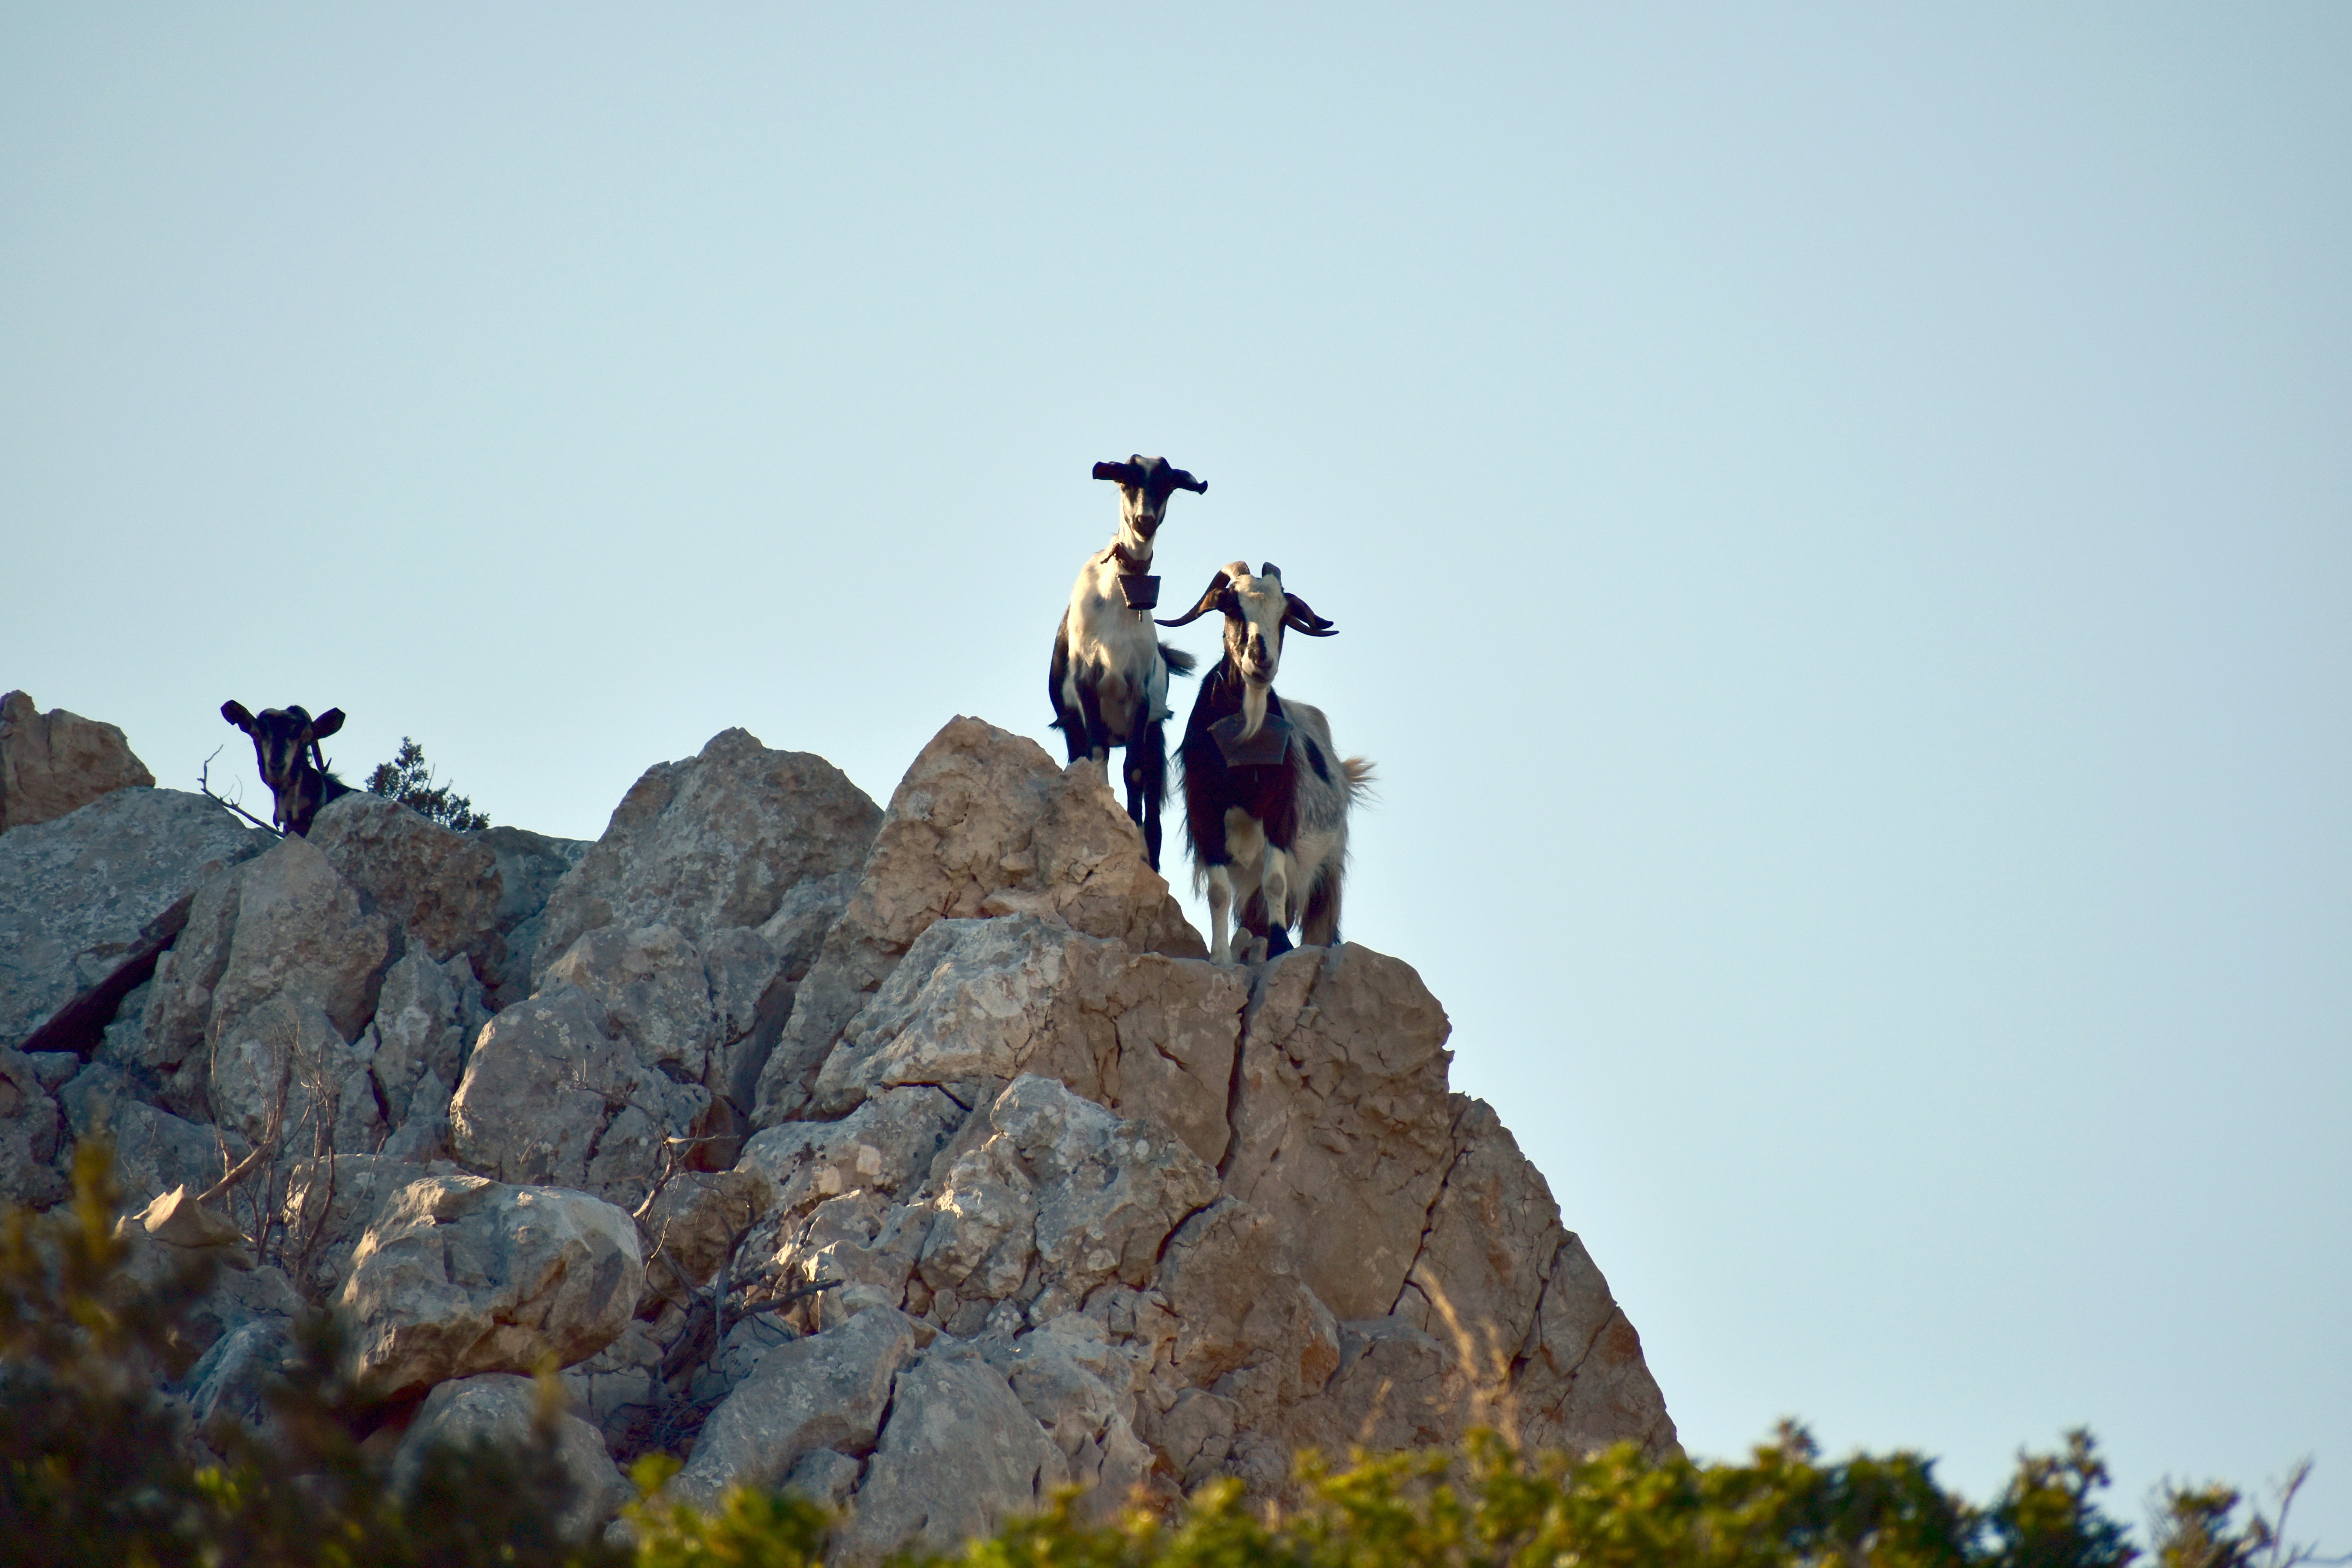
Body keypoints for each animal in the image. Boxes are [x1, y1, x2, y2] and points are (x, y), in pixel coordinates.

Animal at [1047, 455, 1208, 869]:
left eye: (1167, 485)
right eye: (1125, 480)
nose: (1144, 520)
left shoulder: (1141, 698)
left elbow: (1132, 773)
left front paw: (1133, 835)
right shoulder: (1085, 685)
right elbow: (1097, 757)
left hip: (1155, 737)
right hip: (1072, 726)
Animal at [1158, 562, 1373, 966]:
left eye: (1284, 616)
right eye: (1231, 607)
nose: (1261, 661)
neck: (1247, 741)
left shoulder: (1281, 808)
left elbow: (1275, 882)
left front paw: (1279, 946)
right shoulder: (1205, 810)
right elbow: (1218, 892)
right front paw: (1220, 957)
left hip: (1328, 870)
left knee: (1317, 921)